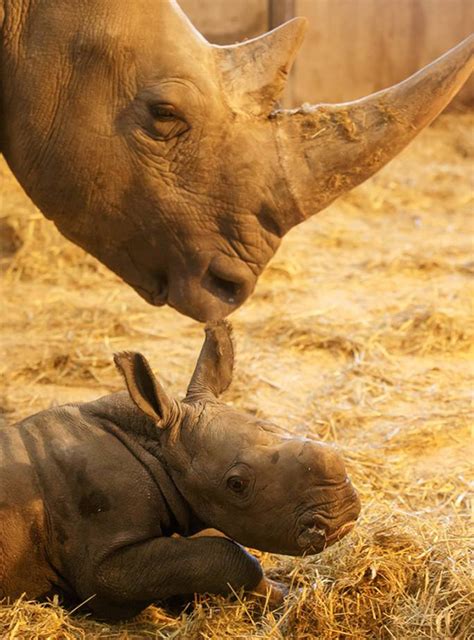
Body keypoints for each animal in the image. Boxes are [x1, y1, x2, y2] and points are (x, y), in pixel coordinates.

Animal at [0, 322, 360, 620]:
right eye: (237, 484)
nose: (344, 513)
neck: (157, 445)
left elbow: (212, 545)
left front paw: (283, 593)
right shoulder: (101, 567)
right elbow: (225, 554)